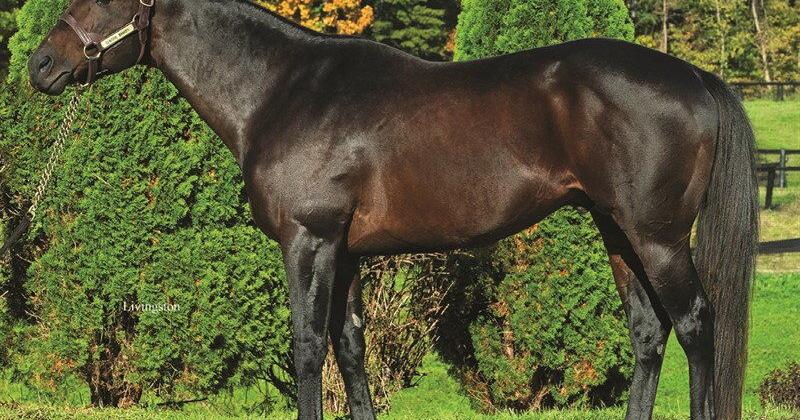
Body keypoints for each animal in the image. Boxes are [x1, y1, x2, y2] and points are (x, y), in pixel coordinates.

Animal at [27, 0, 758, 419]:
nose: (40, 66)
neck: (281, 89)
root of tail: (696, 76)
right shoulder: (347, 251)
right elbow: (351, 350)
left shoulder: (309, 240)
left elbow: (308, 348)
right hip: (617, 232)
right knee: (648, 332)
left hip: (658, 237)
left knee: (697, 326)